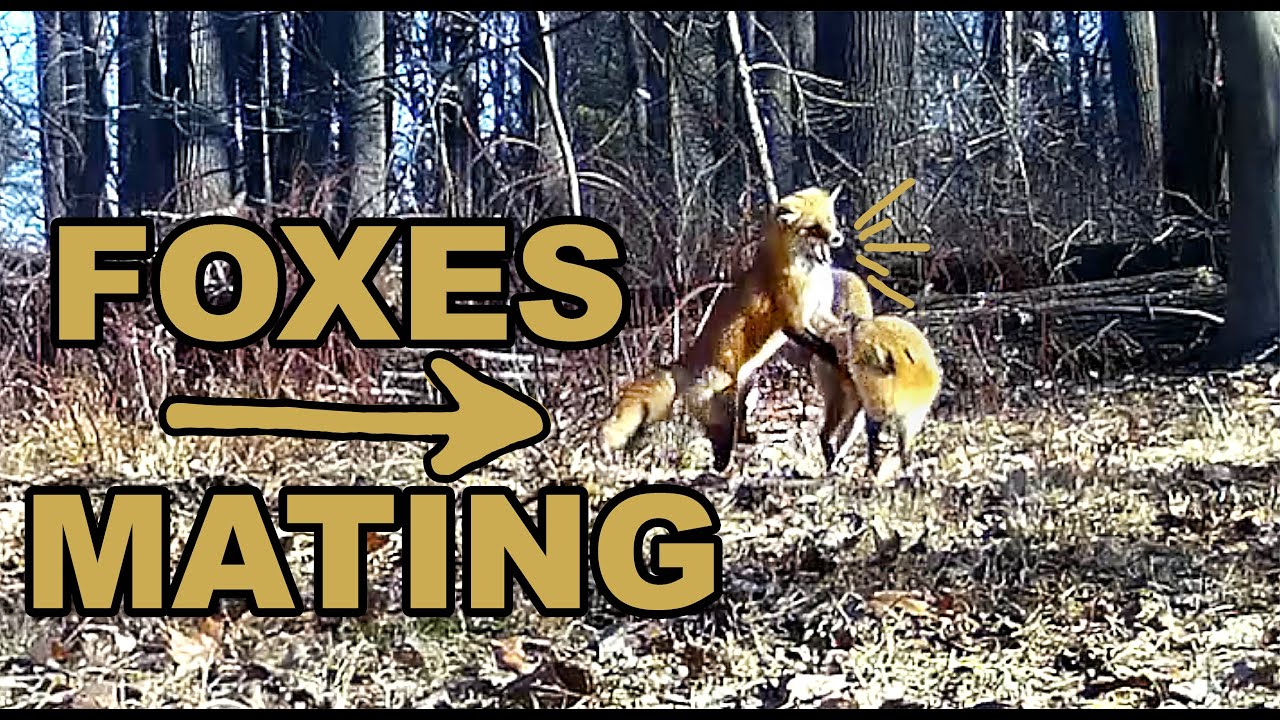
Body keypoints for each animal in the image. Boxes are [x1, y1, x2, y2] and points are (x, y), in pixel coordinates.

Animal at [600, 187, 847, 471]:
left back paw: (749, 439)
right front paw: (838, 358)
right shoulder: (793, 322)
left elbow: (841, 326)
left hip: (745, 391)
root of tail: (683, 363)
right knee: (720, 456)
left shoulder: (820, 313)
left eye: (830, 220)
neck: (810, 273)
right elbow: (824, 347)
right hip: (725, 414)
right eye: (813, 227)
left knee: (736, 433)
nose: (837, 238)